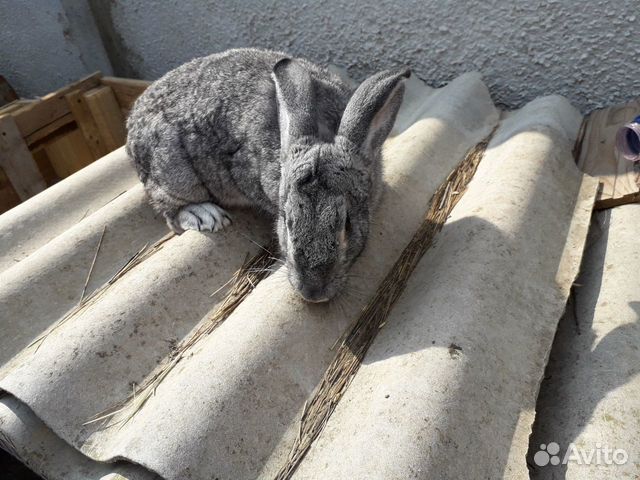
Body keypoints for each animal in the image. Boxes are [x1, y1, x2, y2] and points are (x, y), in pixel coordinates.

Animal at [126, 48, 409, 302]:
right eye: (287, 222)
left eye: (347, 224)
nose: (312, 292)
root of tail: (131, 126)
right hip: (174, 174)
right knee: (170, 211)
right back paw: (204, 215)